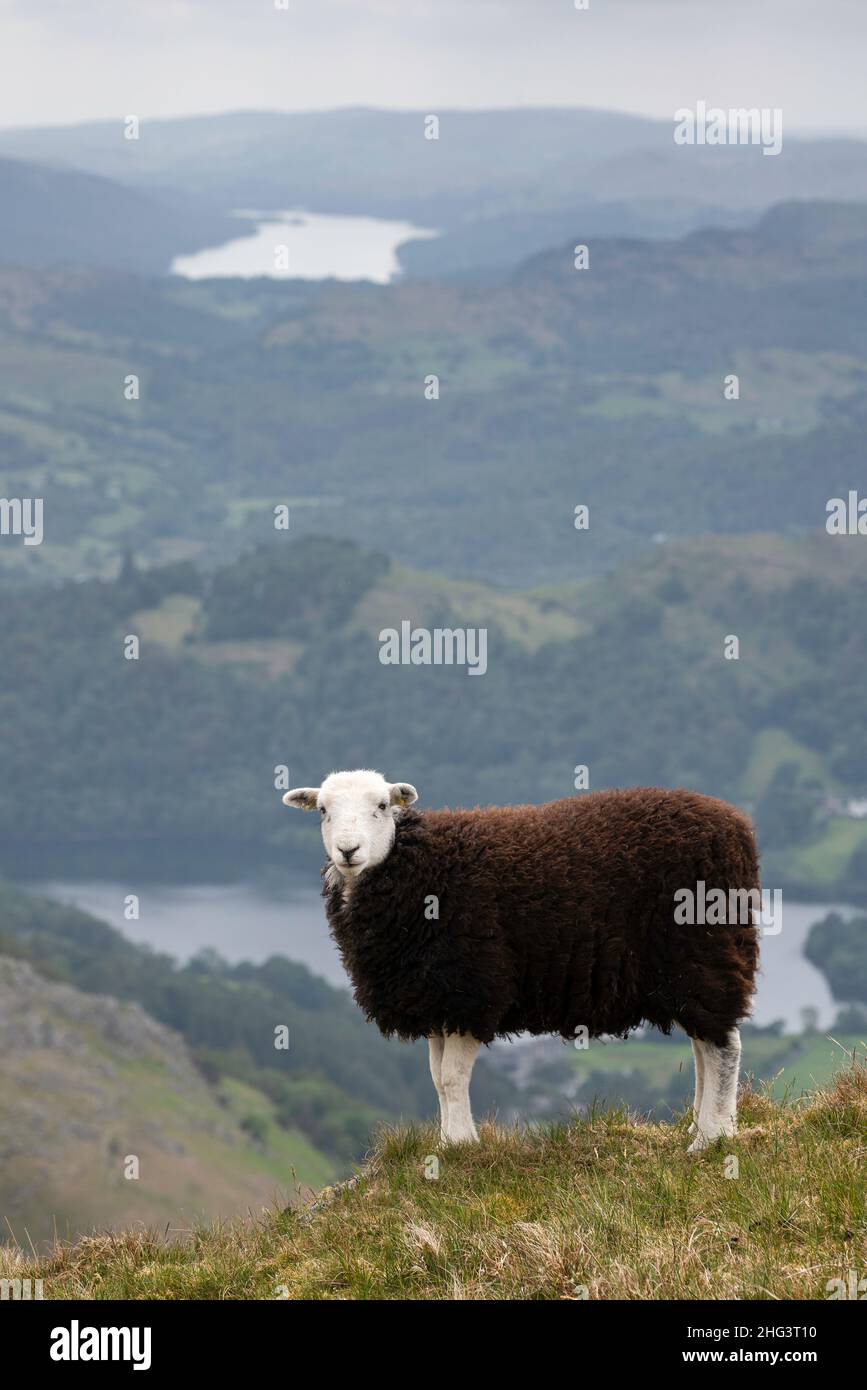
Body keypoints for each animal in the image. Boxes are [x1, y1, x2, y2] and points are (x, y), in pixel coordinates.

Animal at [283, 769, 760, 1152]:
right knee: (703, 1044)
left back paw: (711, 1138)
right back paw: (700, 1127)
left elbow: (453, 1077)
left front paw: (460, 1145)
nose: (348, 850)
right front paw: (445, 1142)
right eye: (323, 810)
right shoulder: (434, 996)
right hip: (683, 969)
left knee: (723, 1047)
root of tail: (736, 826)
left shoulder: (471, 988)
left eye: (382, 806)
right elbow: (437, 1077)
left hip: (704, 950)